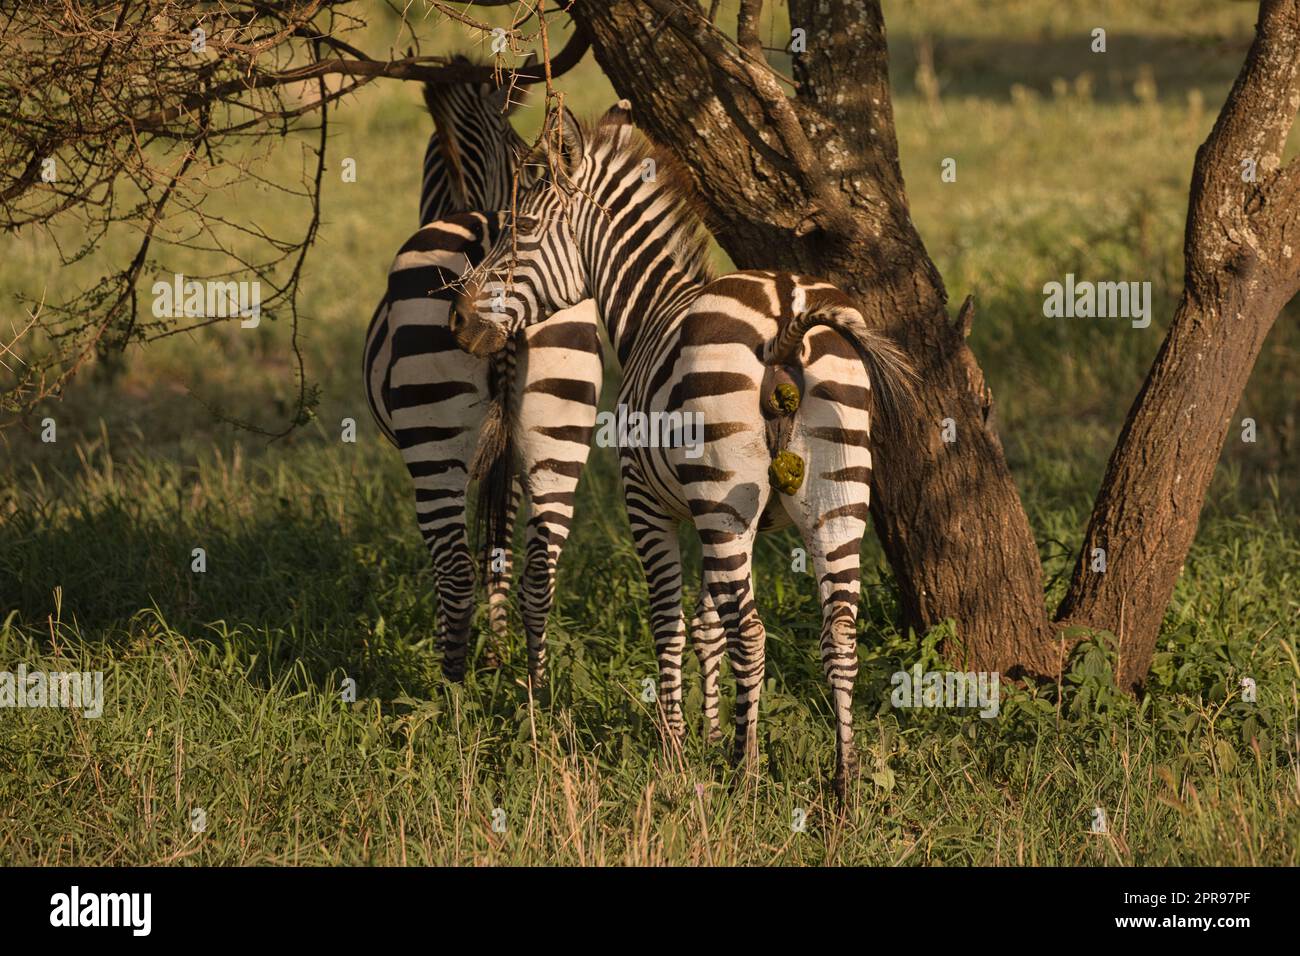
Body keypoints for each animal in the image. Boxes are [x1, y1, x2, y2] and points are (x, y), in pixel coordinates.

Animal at [362, 62, 604, 684]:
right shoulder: (512, 456)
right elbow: (501, 539)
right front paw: (498, 653)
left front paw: (482, 654)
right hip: (561, 426)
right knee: (541, 572)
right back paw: (536, 689)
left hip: (432, 437)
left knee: (453, 570)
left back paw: (450, 689)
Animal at [451, 102, 915, 796]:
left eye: (520, 229)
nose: (456, 320)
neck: (650, 310)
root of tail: (788, 310)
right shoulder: (723, 517)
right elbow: (705, 625)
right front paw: (715, 736)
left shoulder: (652, 505)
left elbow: (670, 622)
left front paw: (678, 750)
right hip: (831, 496)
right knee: (839, 632)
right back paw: (845, 781)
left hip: (726, 500)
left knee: (754, 634)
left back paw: (749, 779)